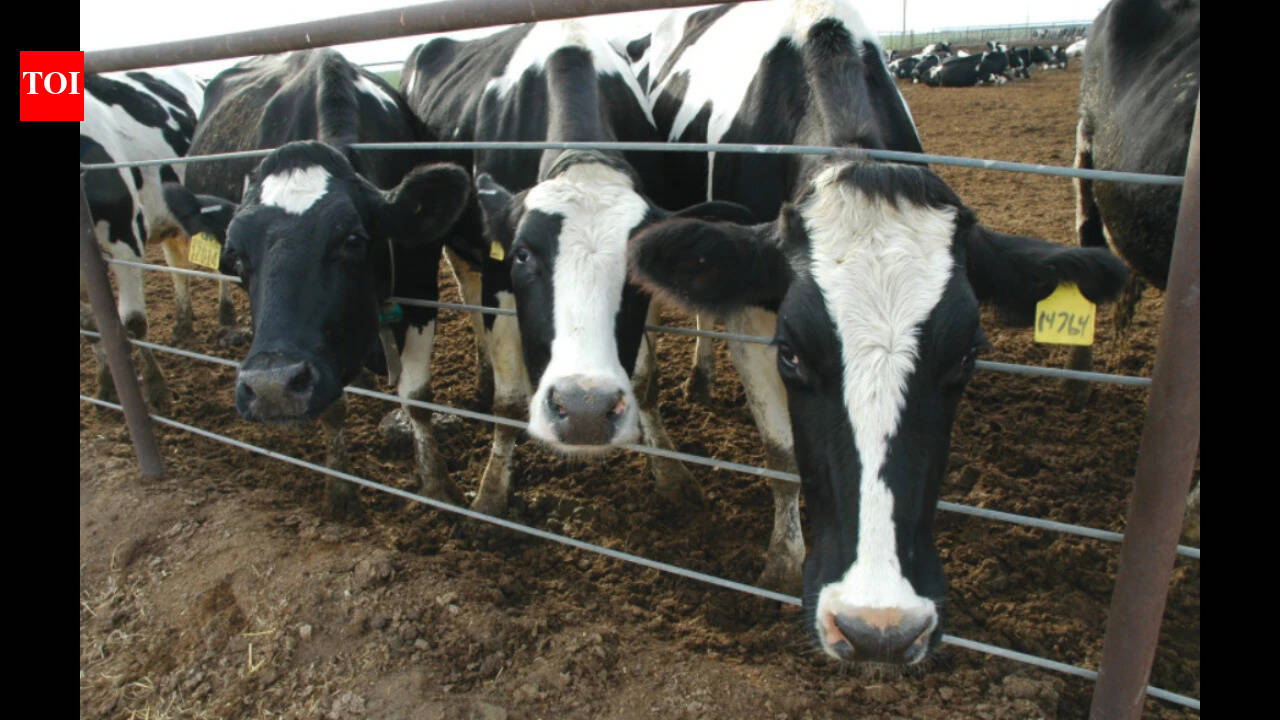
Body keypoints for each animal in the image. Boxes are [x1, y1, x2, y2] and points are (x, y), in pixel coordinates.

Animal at [80, 68, 209, 414]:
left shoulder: (126, 235)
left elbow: (133, 324)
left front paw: (155, 388)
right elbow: (92, 328)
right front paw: (105, 386)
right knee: (178, 264)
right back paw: (182, 320)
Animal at [177, 49, 473, 518]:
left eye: (352, 239)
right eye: (236, 256)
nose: (271, 386)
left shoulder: (420, 285)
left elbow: (417, 394)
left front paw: (438, 488)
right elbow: (334, 408)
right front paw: (341, 490)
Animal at [399, 20, 751, 516]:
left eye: (636, 264)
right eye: (523, 254)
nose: (584, 410)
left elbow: (644, 381)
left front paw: (672, 475)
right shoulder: (499, 275)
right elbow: (510, 402)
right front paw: (491, 494)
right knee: (466, 289)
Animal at [628, 0, 1129, 662]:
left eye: (968, 356)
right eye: (791, 354)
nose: (878, 627)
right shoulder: (754, 312)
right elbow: (781, 449)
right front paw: (783, 561)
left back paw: (701, 381)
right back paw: (668, 466)